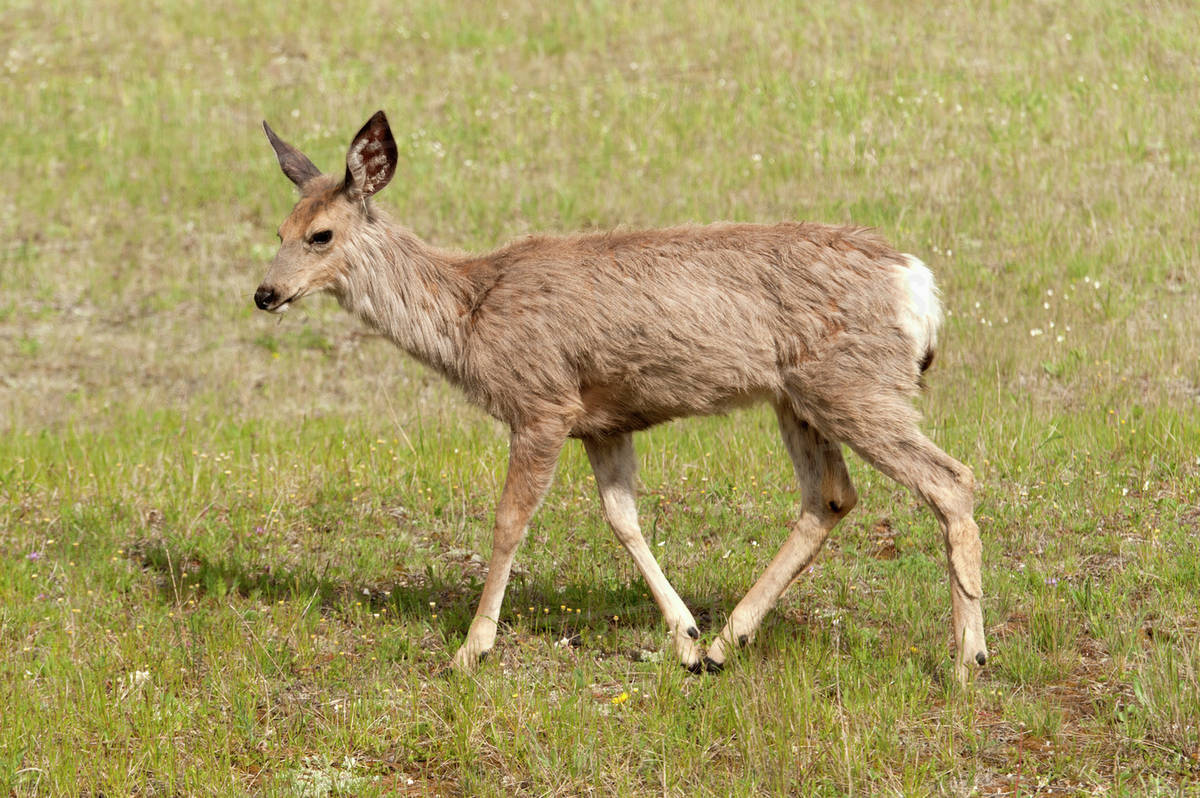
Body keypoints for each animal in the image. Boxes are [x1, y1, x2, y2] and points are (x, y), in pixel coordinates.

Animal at [254, 111, 988, 683]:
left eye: (320, 234)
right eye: (279, 229)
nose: (265, 292)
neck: (471, 316)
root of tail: (918, 284)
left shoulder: (542, 401)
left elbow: (509, 520)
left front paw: (471, 649)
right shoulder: (602, 421)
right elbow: (623, 518)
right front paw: (686, 638)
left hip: (856, 383)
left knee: (949, 479)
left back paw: (967, 660)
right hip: (800, 397)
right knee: (830, 496)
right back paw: (726, 644)